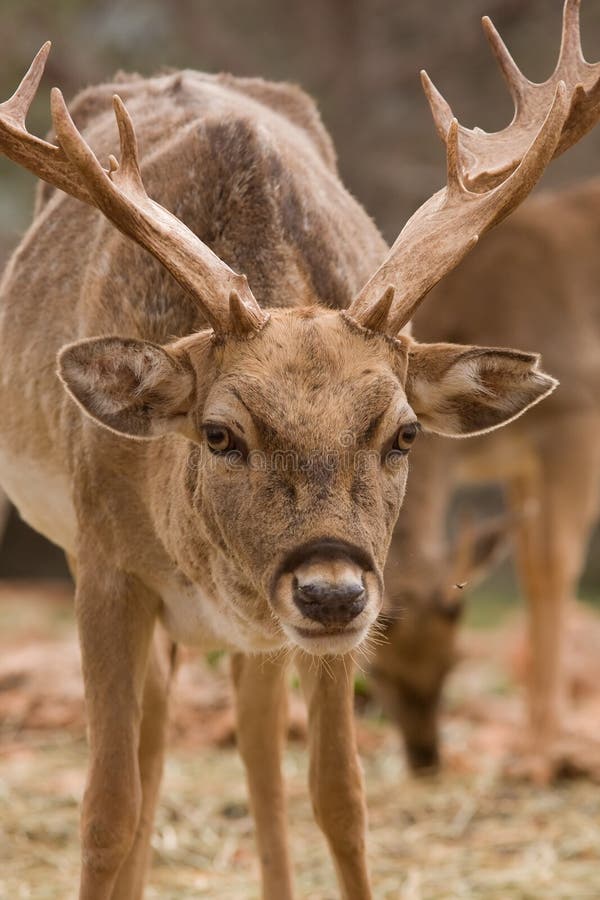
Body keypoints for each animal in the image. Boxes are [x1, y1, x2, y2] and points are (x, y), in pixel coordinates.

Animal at [1, 0, 599, 895]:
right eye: (220, 433)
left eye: (403, 433)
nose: (329, 594)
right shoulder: (103, 566)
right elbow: (107, 810)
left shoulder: (344, 610)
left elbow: (340, 798)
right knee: (155, 739)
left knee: (254, 741)